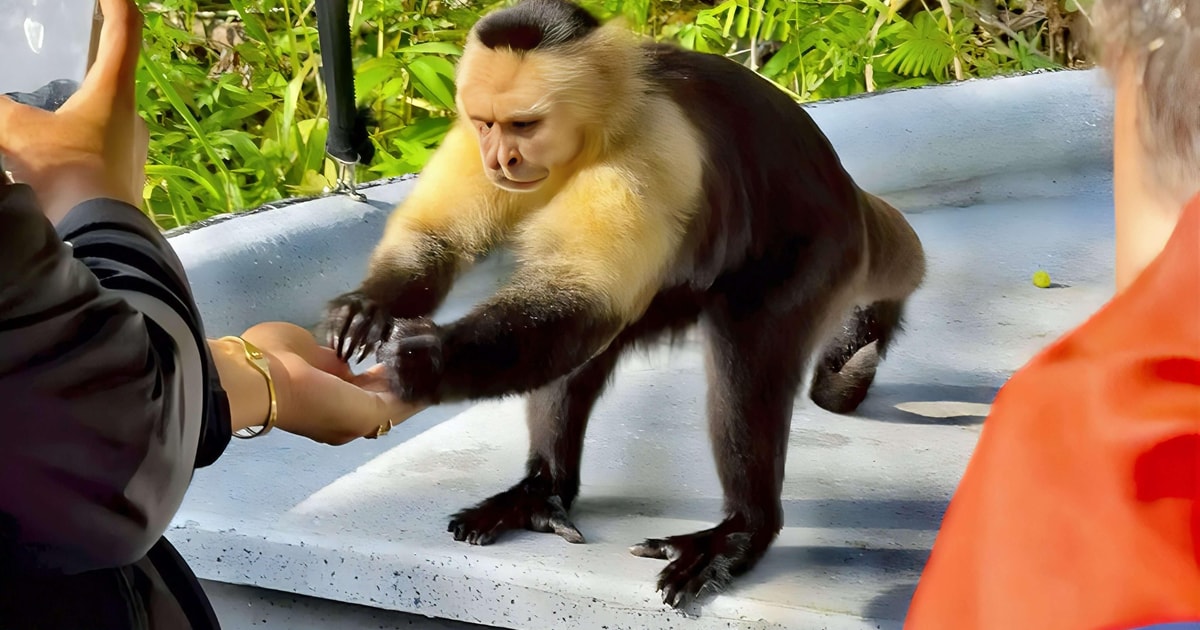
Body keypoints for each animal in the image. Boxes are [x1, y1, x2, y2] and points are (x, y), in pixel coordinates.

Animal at [322, 0, 926, 610]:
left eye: (524, 126)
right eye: (489, 123)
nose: (501, 157)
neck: (596, 129)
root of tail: (846, 193)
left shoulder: (652, 146)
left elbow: (583, 295)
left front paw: (423, 361)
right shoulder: (472, 136)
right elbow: (440, 239)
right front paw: (369, 306)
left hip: (812, 255)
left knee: (743, 367)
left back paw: (744, 529)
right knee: (575, 349)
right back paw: (544, 490)